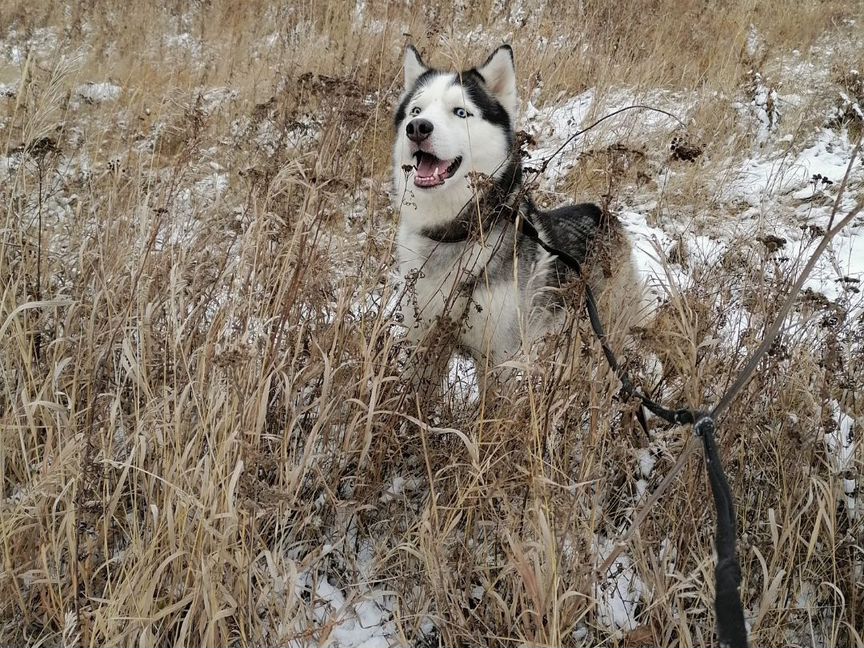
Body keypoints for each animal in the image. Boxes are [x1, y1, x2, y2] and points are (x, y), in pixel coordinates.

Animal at [392, 46, 640, 390]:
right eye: (416, 109)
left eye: (460, 112)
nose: (417, 127)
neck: (453, 233)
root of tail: (602, 214)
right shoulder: (423, 339)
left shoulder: (501, 358)